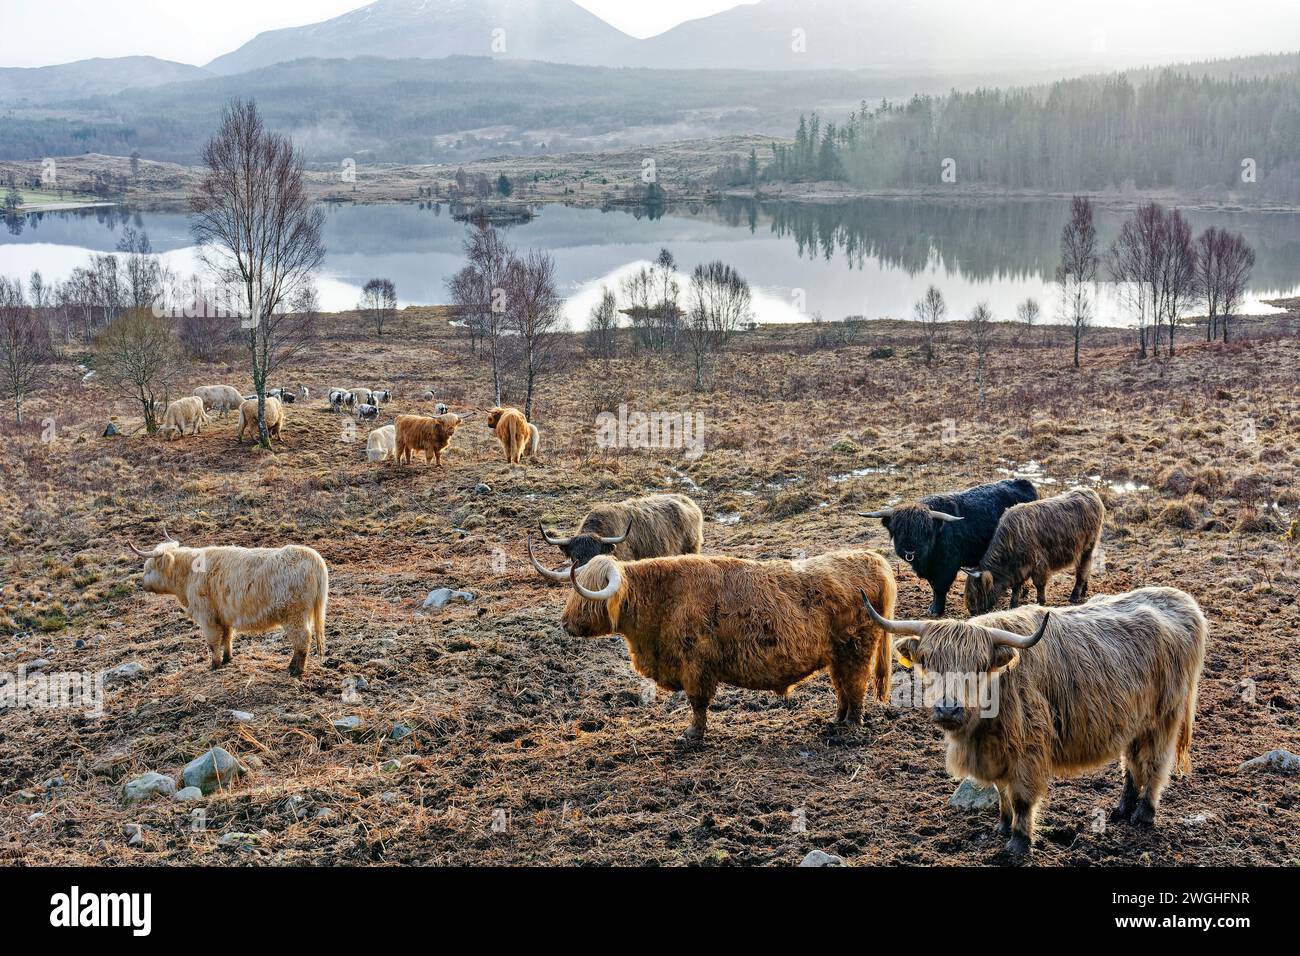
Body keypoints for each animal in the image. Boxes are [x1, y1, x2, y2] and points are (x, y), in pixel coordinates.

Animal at [127, 527, 330, 677]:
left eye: (148, 568)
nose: (141, 583)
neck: (189, 574)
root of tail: (313, 557)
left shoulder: (207, 617)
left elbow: (212, 642)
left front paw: (214, 665)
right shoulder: (223, 616)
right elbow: (227, 638)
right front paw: (227, 659)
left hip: (294, 614)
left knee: (302, 639)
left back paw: (295, 669)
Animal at [561, 549, 897, 741]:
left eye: (586, 592)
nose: (565, 623)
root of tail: (872, 559)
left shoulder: (695, 666)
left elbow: (697, 703)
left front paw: (691, 734)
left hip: (856, 649)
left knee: (855, 687)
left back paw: (850, 728)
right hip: (837, 655)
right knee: (843, 688)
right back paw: (837, 721)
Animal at [862, 478, 1038, 616]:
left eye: (924, 531)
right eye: (898, 529)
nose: (909, 551)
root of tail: (1023, 482)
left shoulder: (947, 567)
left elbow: (939, 588)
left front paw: (936, 610)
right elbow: (933, 587)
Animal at [863, 586, 1207, 854]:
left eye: (979, 666)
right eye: (930, 662)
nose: (949, 709)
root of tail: (1182, 601)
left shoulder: (1028, 751)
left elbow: (1022, 799)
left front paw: (1018, 843)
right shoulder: (997, 754)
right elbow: (1001, 792)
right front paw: (1002, 826)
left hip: (1164, 718)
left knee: (1156, 764)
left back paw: (1144, 814)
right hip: (1135, 722)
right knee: (1132, 763)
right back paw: (1122, 809)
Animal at [964, 487, 1105, 614]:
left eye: (976, 593)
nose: (972, 611)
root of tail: (1090, 491)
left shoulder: (1039, 564)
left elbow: (1039, 584)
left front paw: (1040, 602)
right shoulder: (1019, 569)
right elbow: (1016, 587)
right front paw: (1013, 604)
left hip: (1087, 547)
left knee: (1083, 568)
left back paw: (1075, 595)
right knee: (1087, 567)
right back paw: (1084, 590)